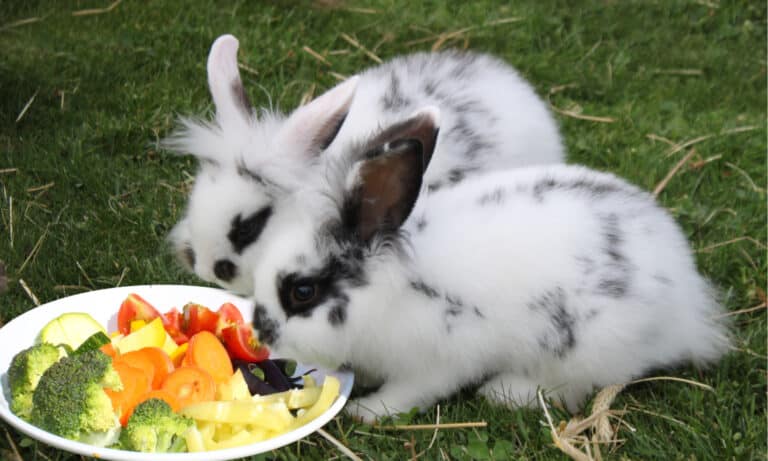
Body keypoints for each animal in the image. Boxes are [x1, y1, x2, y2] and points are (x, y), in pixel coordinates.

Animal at [245, 107, 731, 423]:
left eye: (302, 291)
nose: (259, 332)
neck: (388, 289)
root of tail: (687, 301)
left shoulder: (438, 360)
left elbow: (410, 393)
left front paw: (367, 411)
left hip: (585, 347)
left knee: (574, 387)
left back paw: (505, 391)